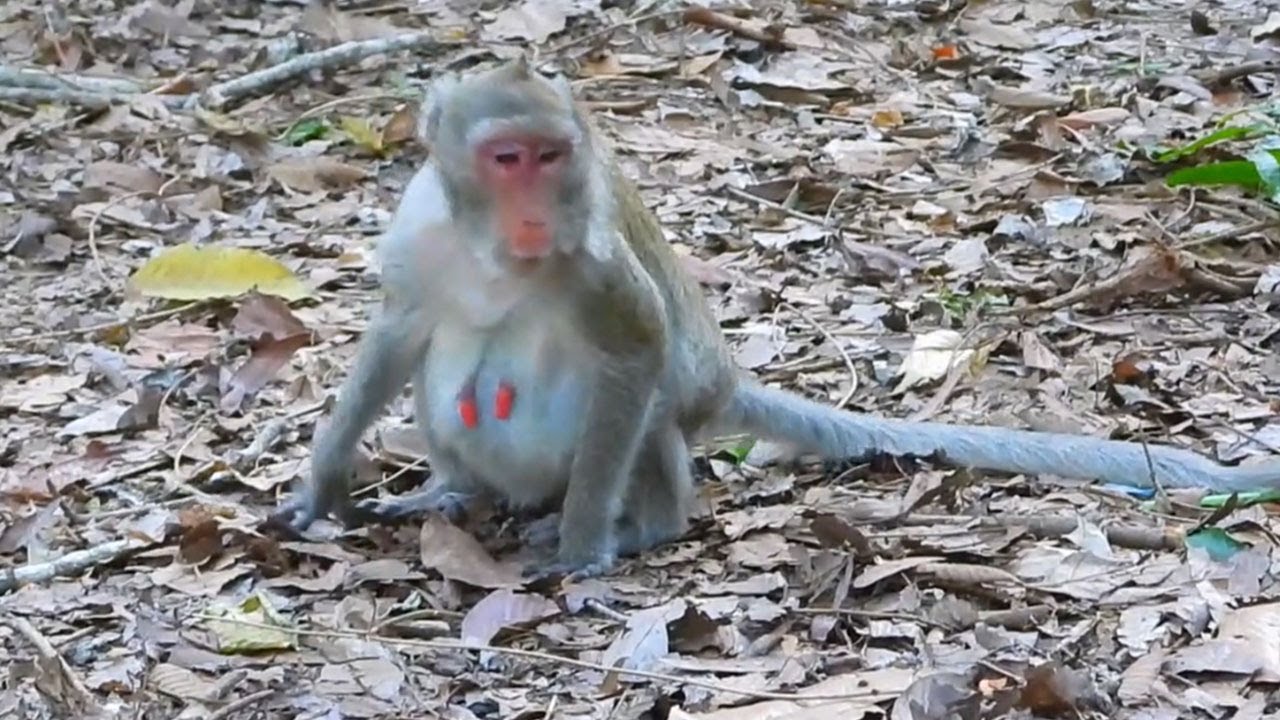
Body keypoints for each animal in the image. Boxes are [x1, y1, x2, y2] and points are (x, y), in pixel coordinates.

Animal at [270, 56, 1280, 577]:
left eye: (553, 158)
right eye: (507, 157)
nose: (535, 216)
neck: (489, 249)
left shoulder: (588, 256)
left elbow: (633, 352)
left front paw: (590, 547)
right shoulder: (420, 232)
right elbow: (399, 332)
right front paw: (323, 485)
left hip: (671, 406)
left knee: (651, 400)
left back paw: (645, 525)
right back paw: (453, 490)